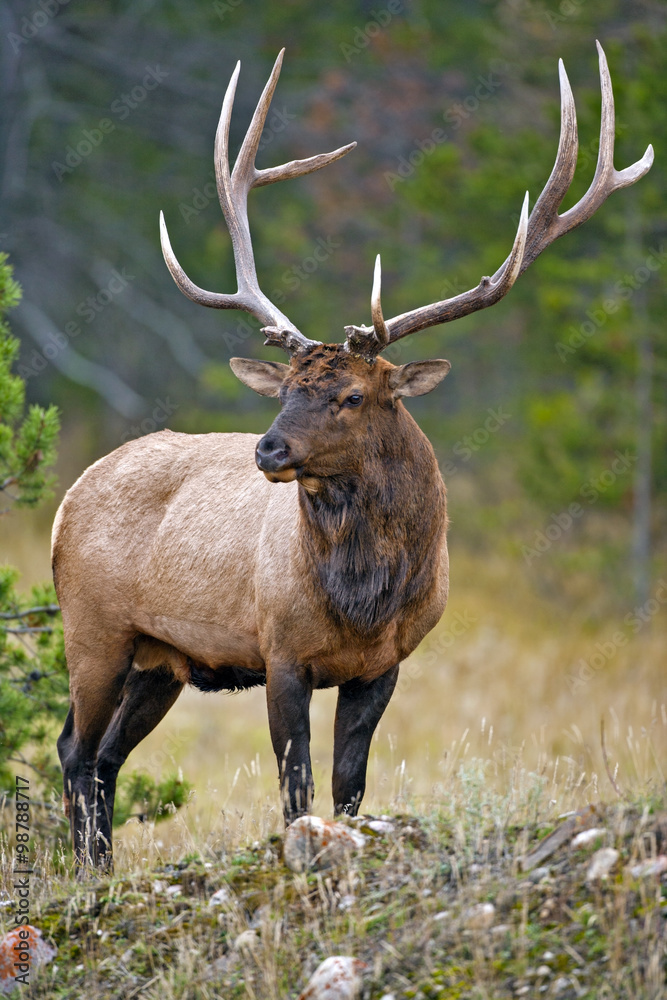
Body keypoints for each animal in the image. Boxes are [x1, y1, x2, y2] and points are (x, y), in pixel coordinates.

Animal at [54, 43, 652, 869]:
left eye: (351, 395)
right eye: (284, 388)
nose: (268, 447)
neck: (366, 601)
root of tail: (67, 497)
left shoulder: (384, 665)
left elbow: (348, 786)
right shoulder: (280, 652)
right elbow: (295, 786)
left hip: (160, 657)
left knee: (104, 755)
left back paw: (100, 868)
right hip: (93, 628)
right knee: (75, 751)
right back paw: (88, 876)